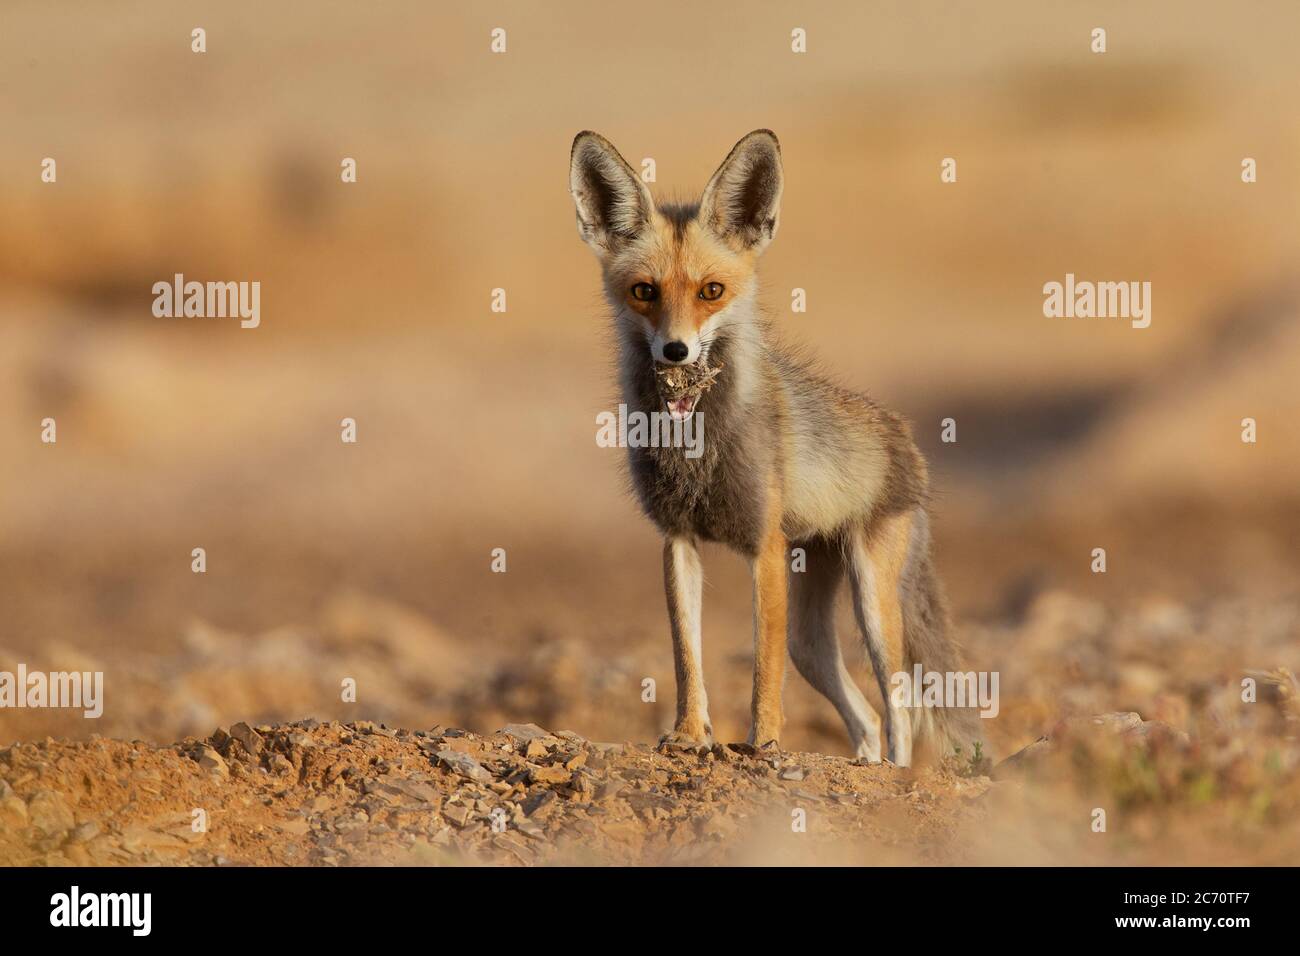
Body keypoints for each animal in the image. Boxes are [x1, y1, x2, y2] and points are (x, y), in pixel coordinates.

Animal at [569, 129, 983, 766]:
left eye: (711, 292)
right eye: (644, 292)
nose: (675, 351)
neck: (696, 452)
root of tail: (906, 440)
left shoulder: (763, 544)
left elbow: (762, 669)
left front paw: (762, 743)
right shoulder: (677, 539)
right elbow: (685, 657)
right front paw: (689, 735)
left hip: (872, 604)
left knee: (900, 706)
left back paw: (896, 774)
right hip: (811, 632)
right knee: (862, 712)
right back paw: (865, 760)